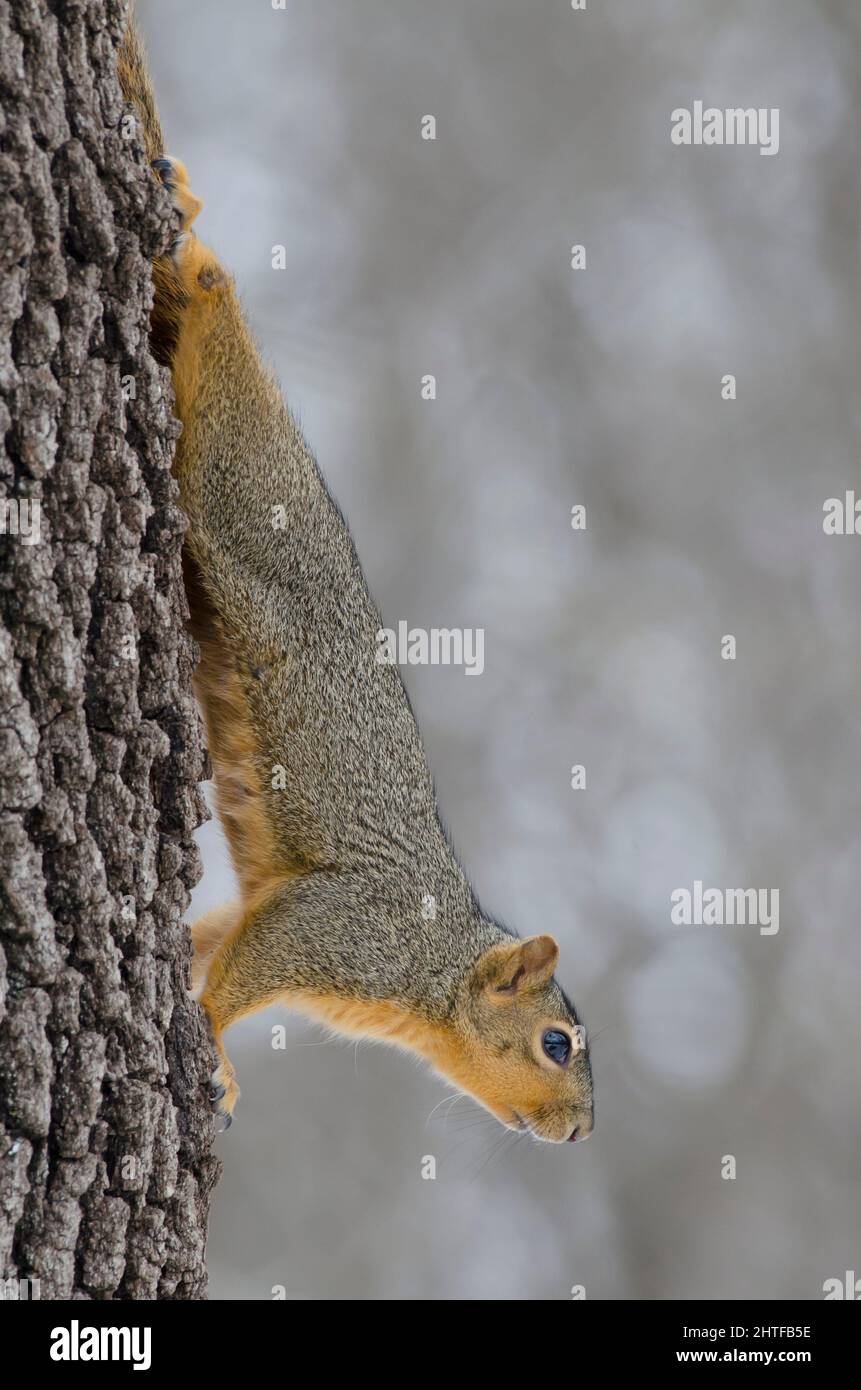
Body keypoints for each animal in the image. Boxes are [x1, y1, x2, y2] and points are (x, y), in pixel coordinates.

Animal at [117, 11, 593, 1145]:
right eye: (556, 1044)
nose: (579, 1131)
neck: (431, 972)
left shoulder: (268, 914)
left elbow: (213, 938)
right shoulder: (333, 929)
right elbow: (239, 980)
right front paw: (218, 1060)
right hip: (230, 468)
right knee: (205, 280)